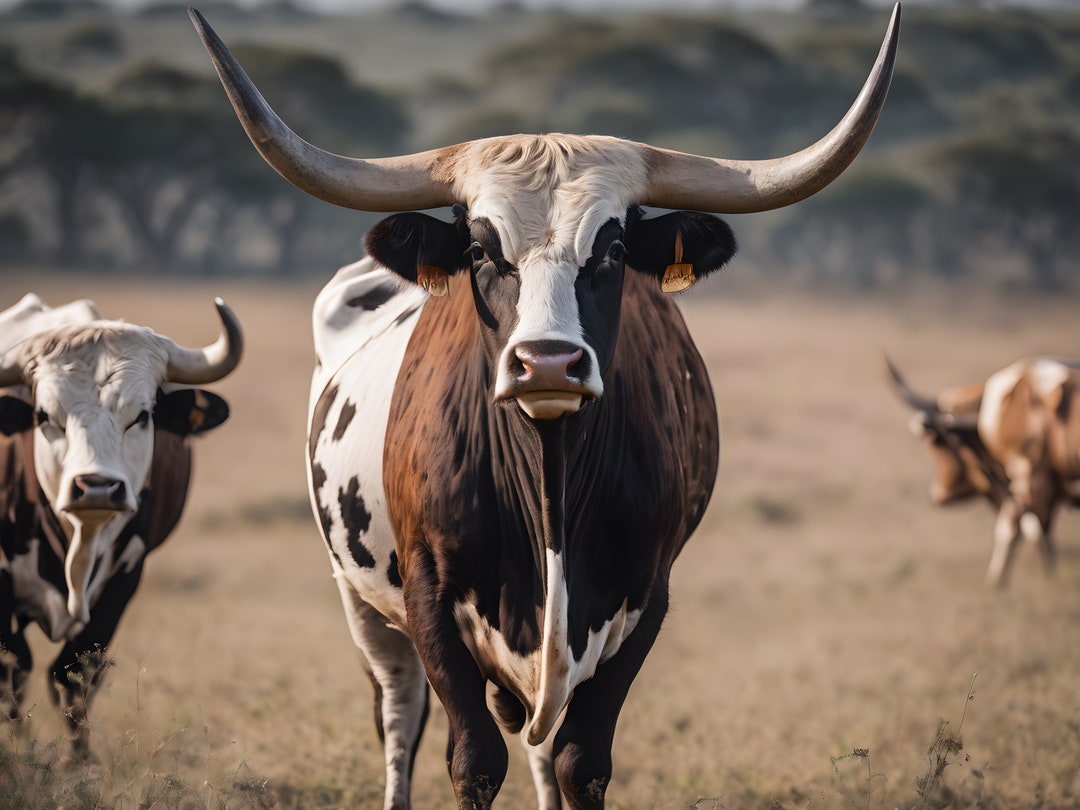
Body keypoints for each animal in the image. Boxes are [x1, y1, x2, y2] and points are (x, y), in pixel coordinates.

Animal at [0, 294, 242, 757]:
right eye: (44, 415)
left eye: (142, 415)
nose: (96, 488)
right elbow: (13, 674)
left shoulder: (122, 583)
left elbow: (74, 676)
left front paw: (79, 763)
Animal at [191, 5, 899, 808]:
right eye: (479, 249)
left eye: (614, 248)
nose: (549, 363)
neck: (549, 492)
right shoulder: (429, 596)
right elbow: (473, 758)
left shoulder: (643, 599)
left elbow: (577, 760)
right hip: (363, 599)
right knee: (399, 716)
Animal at [888, 356, 1080, 587]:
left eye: (938, 443)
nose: (936, 495)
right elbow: (1037, 531)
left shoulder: (1030, 479)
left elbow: (1016, 530)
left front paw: (996, 582)